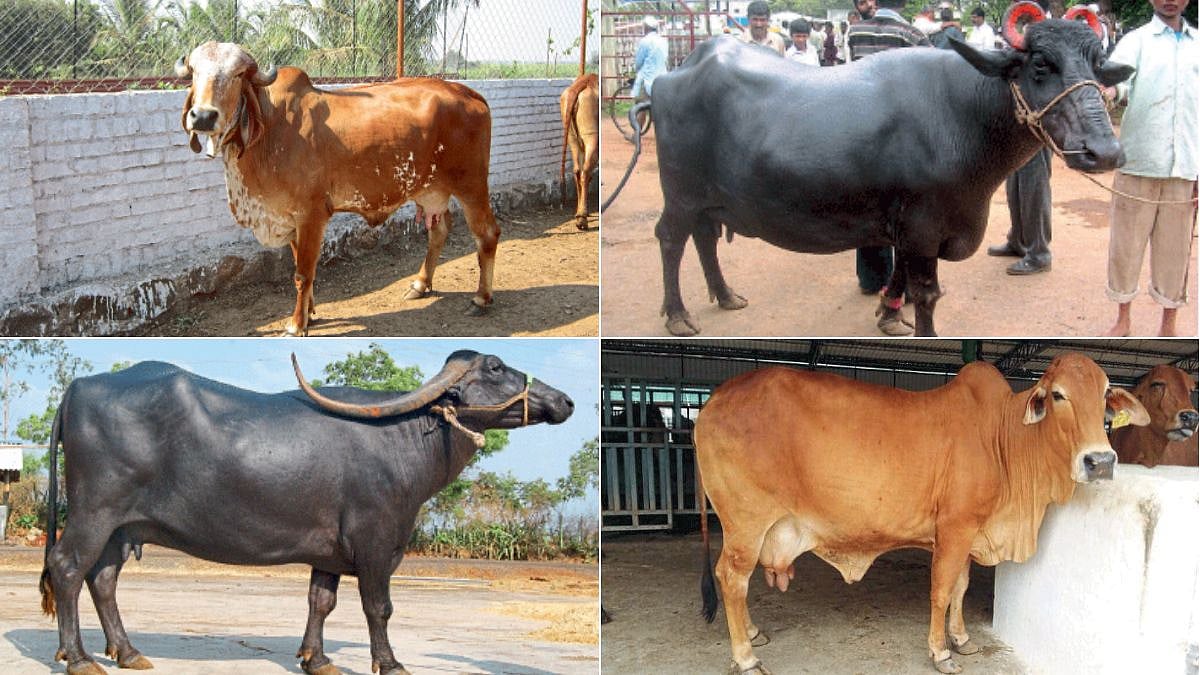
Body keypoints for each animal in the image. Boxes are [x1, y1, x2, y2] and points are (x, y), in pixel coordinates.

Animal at [39, 351, 574, 675]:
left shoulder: (330, 552)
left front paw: (316, 659)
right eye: (495, 367)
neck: (403, 438)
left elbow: (321, 601)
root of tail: (79, 387)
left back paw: (127, 652)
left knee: (102, 580)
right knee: (66, 569)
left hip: (119, 527)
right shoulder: (376, 542)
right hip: (94, 512)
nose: (565, 399)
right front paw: (390, 662)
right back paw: (79, 658)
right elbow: (379, 607)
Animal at [175, 41, 499, 335]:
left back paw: (481, 298)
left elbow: (303, 273)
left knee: (487, 234)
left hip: (471, 185)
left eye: (239, 74)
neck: (270, 127)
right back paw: (420, 284)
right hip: (429, 189)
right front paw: (310, 314)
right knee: (439, 231)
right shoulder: (290, 219)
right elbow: (303, 269)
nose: (203, 116)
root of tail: (468, 92)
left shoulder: (311, 215)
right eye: (194, 72)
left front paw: (296, 325)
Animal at [559, 73, 599, 230]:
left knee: (577, 170)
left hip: (571, 134)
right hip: (592, 134)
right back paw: (582, 219)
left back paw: (580, 214)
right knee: (586, 171)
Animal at [626, 4, 1132, 337]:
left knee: (705, 238)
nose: (1104, 151)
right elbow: (926, 293)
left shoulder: (906, 227)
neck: (964, 114)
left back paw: (727, 295)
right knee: (670, 238)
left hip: (709, 199)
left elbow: (900, 277)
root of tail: (672, 77)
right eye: (1041, 64)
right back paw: (677, 315)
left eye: (1098, 66)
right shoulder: (923, 226)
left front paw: (889, 314)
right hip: (681, 194)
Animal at [694, 353, 1148, 674]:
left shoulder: (970, 531)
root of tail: (715, 398)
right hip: (745, 523)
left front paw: (961, 639)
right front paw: (940, 652)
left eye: (1106, 395)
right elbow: (942, 589)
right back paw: (746, 657)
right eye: (1057, 395)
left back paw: (753, 634)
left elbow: (961, 587)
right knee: (731, 578)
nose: (1100, 461)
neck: (1004, 438)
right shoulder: (954, 527)